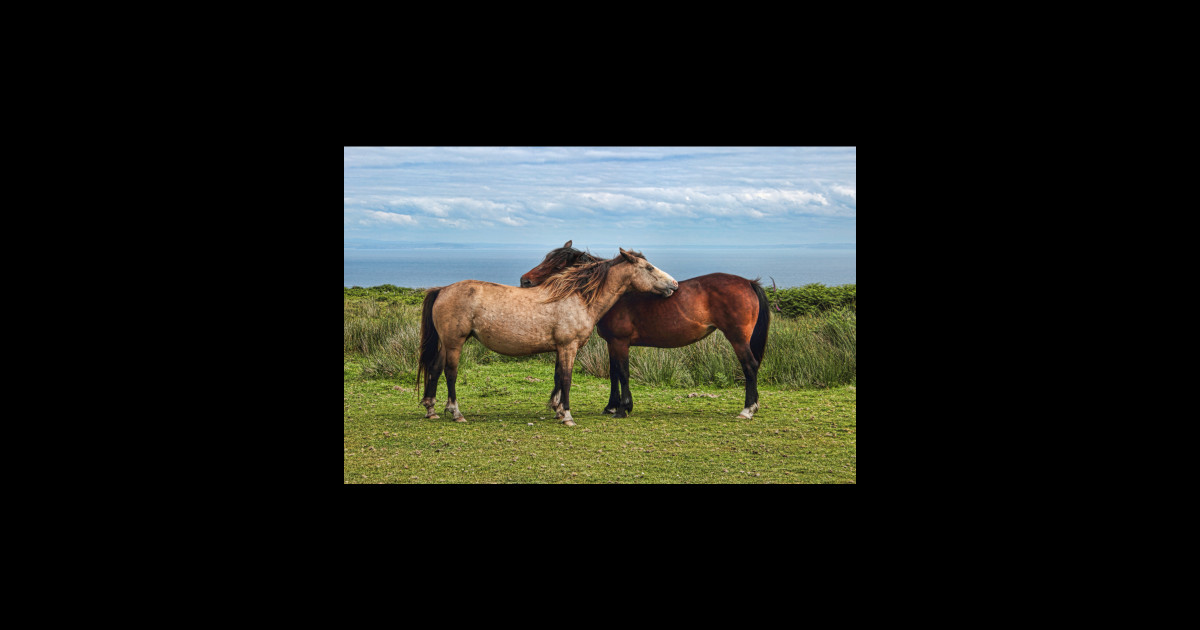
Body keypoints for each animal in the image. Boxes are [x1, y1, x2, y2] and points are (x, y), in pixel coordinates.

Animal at [418, 248, 678, 426]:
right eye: (649, 268)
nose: (674, 284)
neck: (577, 297)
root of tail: (443, 290)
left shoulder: (560, 348)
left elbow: (558, 377)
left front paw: (559, 411)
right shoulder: (568, 346)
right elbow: (567, 379)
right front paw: (567, 416)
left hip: (445, 344)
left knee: (435, 368)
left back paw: (431, 410)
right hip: (455, 342)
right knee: (450, 373)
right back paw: (456, 413)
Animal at [520, 241, 769, 419]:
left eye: (556, 265)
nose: (525, 281)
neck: (617, 296)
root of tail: (748, 283)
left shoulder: (620, 342)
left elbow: (623, 373)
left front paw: (623, 409)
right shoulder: (612, 343)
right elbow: (613, 373)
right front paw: (611, 406)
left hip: (738, 338)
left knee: (750, 366)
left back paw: (747, 409)